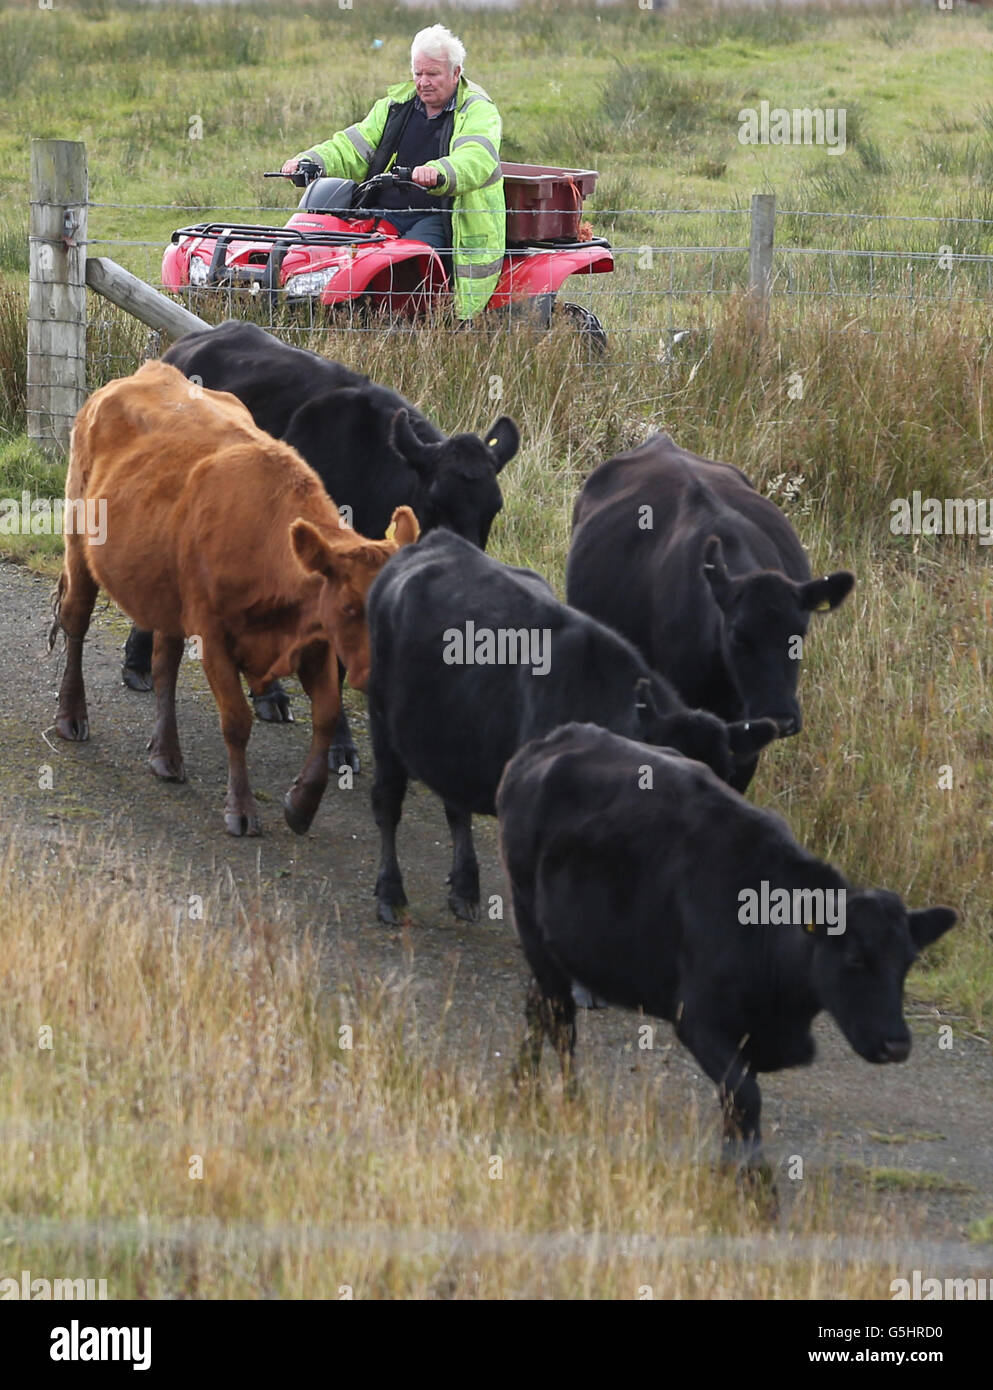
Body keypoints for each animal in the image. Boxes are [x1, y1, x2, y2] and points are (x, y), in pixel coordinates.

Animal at [50, 360, 418, 837]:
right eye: (351, 607)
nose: (384, 681)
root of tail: (149, 369)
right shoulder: (213, 636)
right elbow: (237, 720)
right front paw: (241, 807)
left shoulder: (315, 643)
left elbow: (325, 717)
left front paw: (302, 804)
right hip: (79, 540)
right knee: (76, 621)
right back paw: (71, 716)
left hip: (168, 593)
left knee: (163, 664)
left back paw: (166, 755)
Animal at [366, 529, 777, 926]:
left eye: (727, 777)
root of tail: (436, 539)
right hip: (382, 720)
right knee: (388, 802)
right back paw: (391, 895)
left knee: (455, 804)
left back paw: (465, 890)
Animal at [496, 722, 957, 1168]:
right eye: (855, 959)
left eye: (908, 963)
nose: (896, 1044)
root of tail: (551, 741)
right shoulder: (699, 1021)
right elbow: (744, 1098)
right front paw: (751, 1180)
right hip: (531, 926)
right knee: (559, 1023)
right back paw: (570, 1101)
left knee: (537, 1008)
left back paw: (524, 1084)